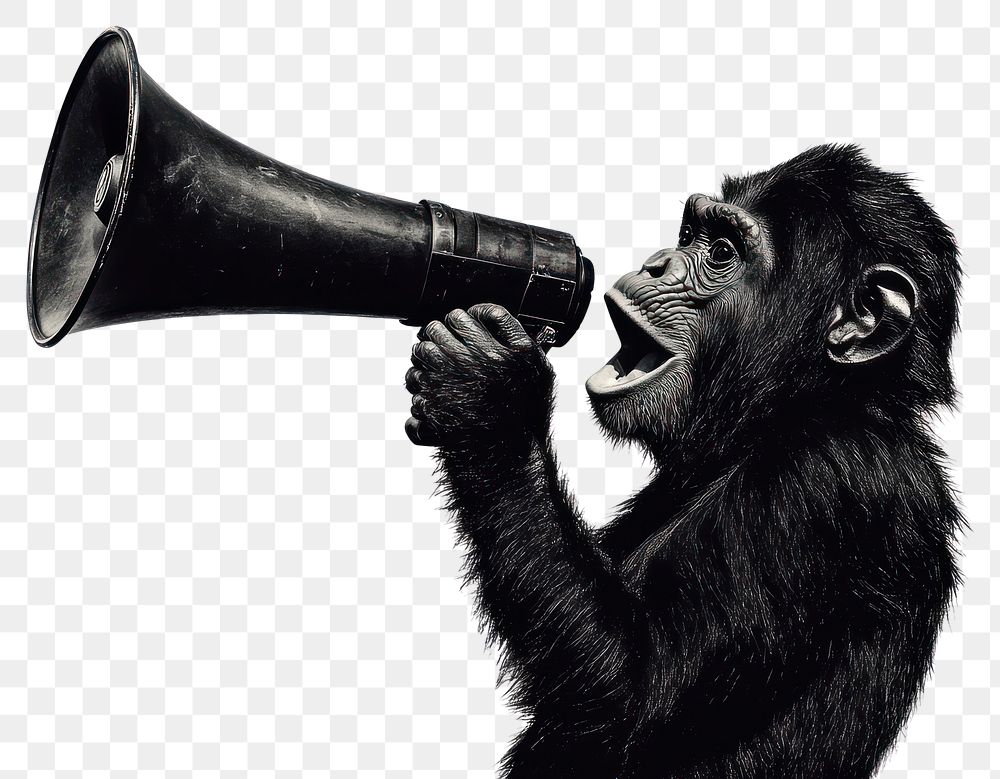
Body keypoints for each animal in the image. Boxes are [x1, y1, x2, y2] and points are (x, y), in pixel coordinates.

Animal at [404, 144, 963, 778]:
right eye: (691, 234)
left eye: (721, 252)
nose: (657, 263)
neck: (790, 412)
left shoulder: (829, 485)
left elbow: (633, 690)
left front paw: (485, 390)